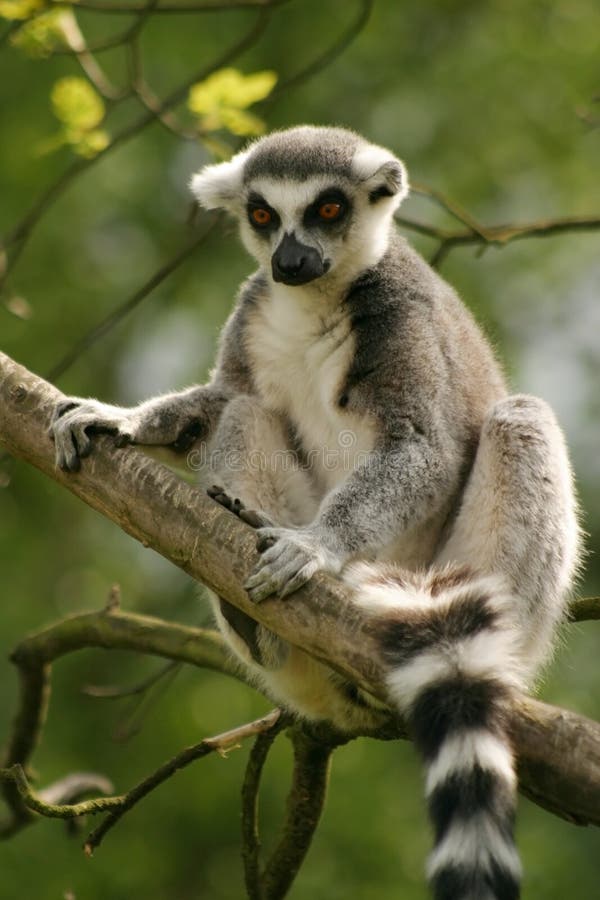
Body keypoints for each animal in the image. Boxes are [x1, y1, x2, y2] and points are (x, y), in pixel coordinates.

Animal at [51, 126, 580, 900]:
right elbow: (222, 397)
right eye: (263, 214)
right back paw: (253, 610)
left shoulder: (403, 315)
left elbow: (424, 447)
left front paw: (317, 546)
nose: (290, 261)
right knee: (246, 412)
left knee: (520, 420)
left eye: (328, 209)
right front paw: (122, 421)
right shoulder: (254, 309)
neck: (313, 302)